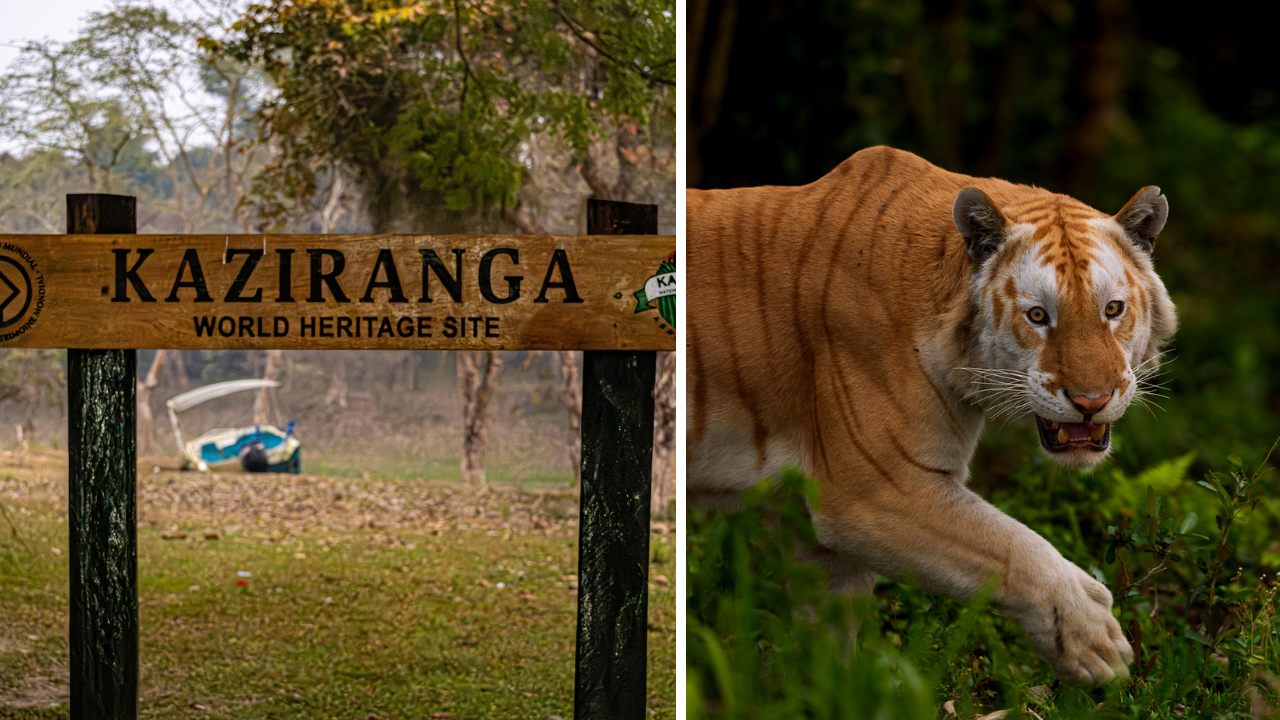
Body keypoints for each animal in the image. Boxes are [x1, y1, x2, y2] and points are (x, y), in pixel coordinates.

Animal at [686, 145, 1176, 685]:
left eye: (1112, 310)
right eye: (1038, 316)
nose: (1092, 400)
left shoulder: (817, 524)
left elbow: (828, 639)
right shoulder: (874, 491)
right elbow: (1012, 546)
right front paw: (1094, 639)